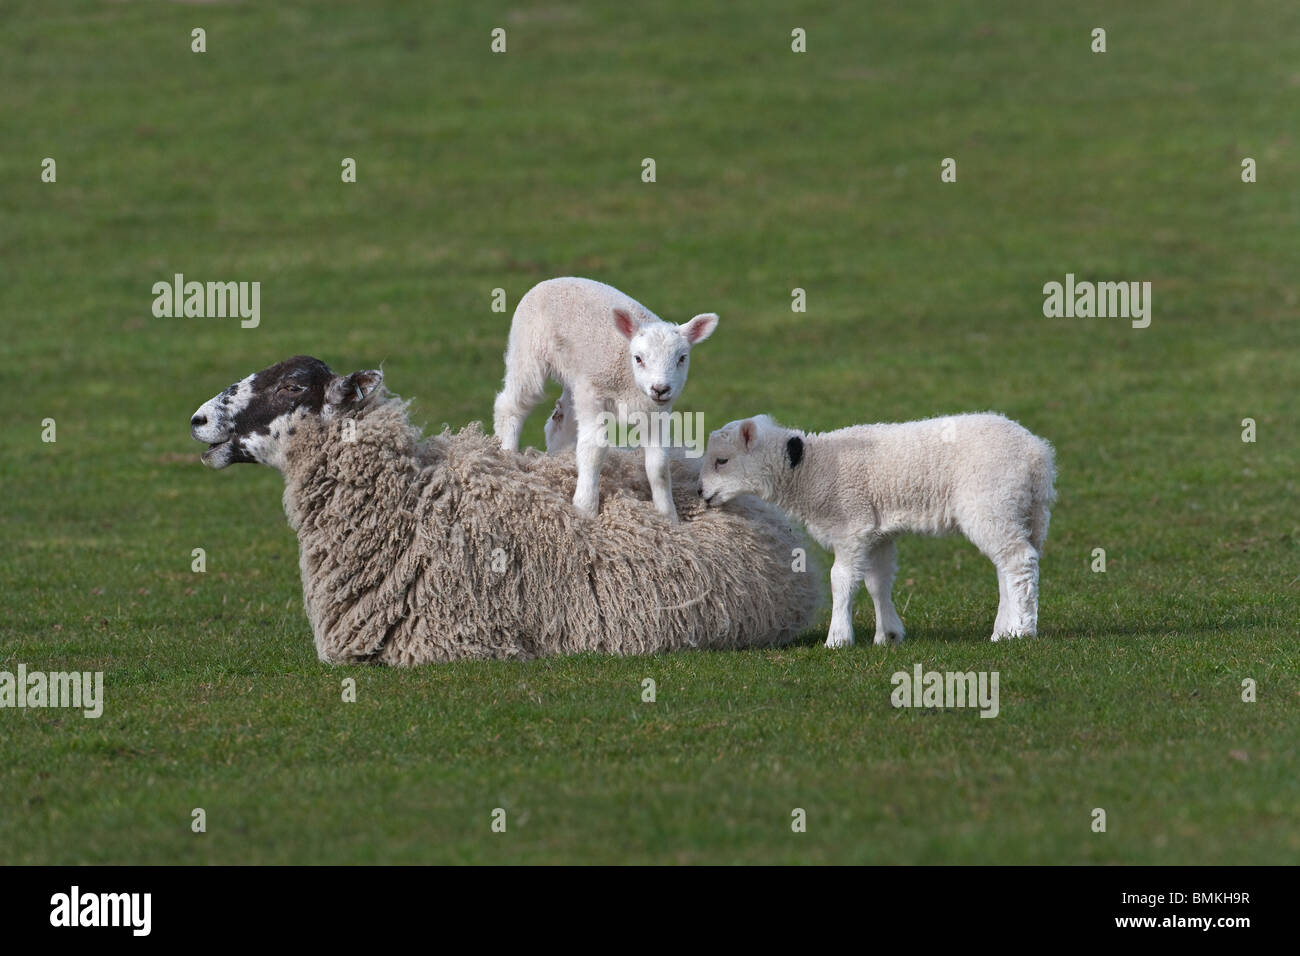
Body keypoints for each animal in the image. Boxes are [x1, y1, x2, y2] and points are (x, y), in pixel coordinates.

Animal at [492, 277, 719, 522]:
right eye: (638, 358)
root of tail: (550, 280)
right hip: (528, 352)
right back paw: (508, 453)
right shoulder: (594, 394)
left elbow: (658, 466)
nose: (660, 389)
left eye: (682, 358)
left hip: (576, 379)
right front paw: (586, 507)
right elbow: (593, 450)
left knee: (559, 424)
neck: (630, 384)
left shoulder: (656, 412)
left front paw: (668, 516)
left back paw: (557, 461)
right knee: (511, 405)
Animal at [698, 413, 1056, 646]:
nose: (701, 492)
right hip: (1019, 509)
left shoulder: (851, 523)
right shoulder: (877, 532)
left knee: (1019, 561)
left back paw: (1022, 631)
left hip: (991, 500)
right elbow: (877, 582)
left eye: (722, 461)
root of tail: (1038, 454)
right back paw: (1003, 630)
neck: (810, 470)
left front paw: (838, 639)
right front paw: (888, 635)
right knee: (1007, 565)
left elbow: (841, 580)